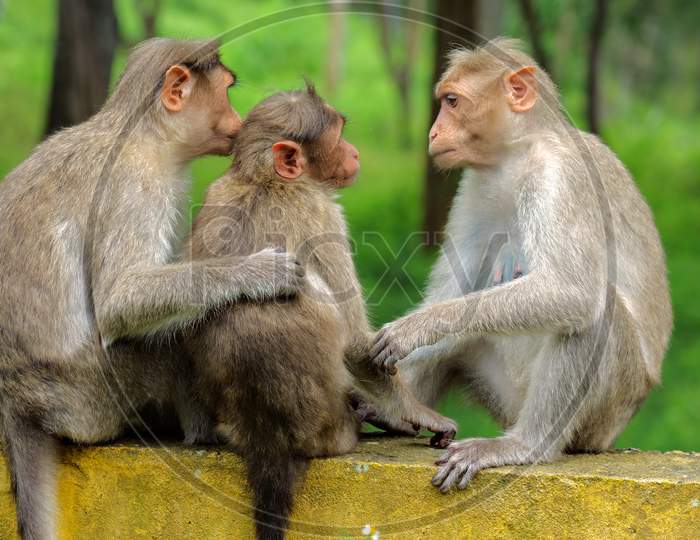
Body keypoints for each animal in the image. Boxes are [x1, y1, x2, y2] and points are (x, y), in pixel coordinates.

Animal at [0, 38, 305, 540]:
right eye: (226, 91)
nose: (238, 119)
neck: (142, 136)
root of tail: (16, 400)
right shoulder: (137, 186)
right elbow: (121, 300)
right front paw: (257, 271)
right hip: (88, 399)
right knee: (173, 342)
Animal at [181, 84, 457, 540]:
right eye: (338, 136)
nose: (355, 152)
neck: (264, 179)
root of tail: (266, 435)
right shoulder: (323, 213)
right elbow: (357, 346)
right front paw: (416, 413)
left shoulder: (214, 193)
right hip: (329, 432)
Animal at [370, 38, 672, 492]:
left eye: (452, 102)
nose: (433, 132)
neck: (518, 154)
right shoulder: (476, 182)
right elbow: (452, 289)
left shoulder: (562, 176)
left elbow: (571, 291)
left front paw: (416, 327)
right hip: (503, 392)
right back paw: (393, 409)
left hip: (605, 412)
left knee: (595, 314)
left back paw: (526, 446)